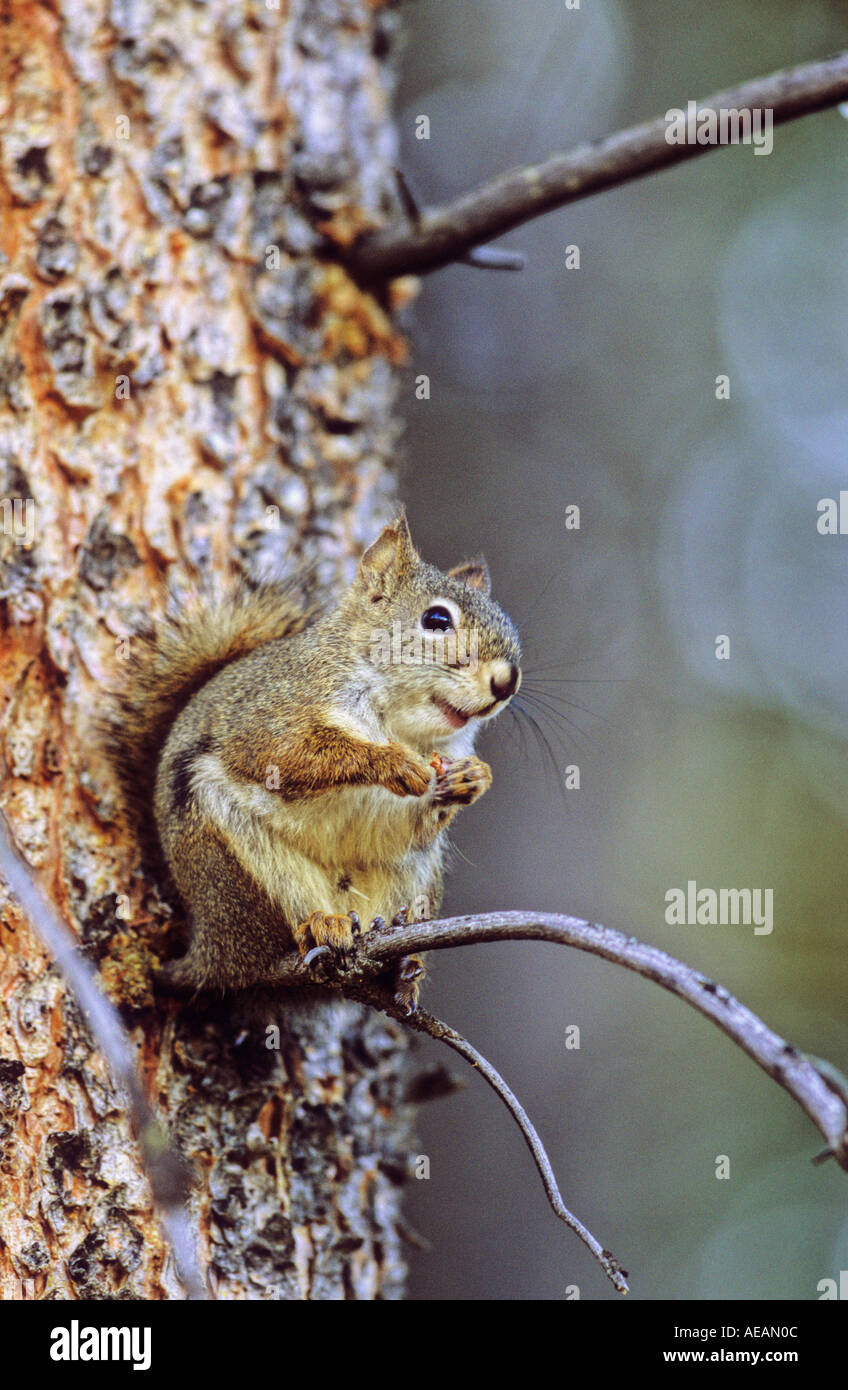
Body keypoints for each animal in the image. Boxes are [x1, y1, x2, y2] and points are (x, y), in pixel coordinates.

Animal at [110, 512, 521, 1012]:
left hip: (415, 875)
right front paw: (389, 761)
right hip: (235, 865)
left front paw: (472, 778)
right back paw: (323, 925)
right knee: (283, 928)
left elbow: (417, 819)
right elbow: (291, 753)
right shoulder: (273, 716)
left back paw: (400, 967)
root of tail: (208, 952)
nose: (507, 681)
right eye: (436, 619)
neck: (405, 725)